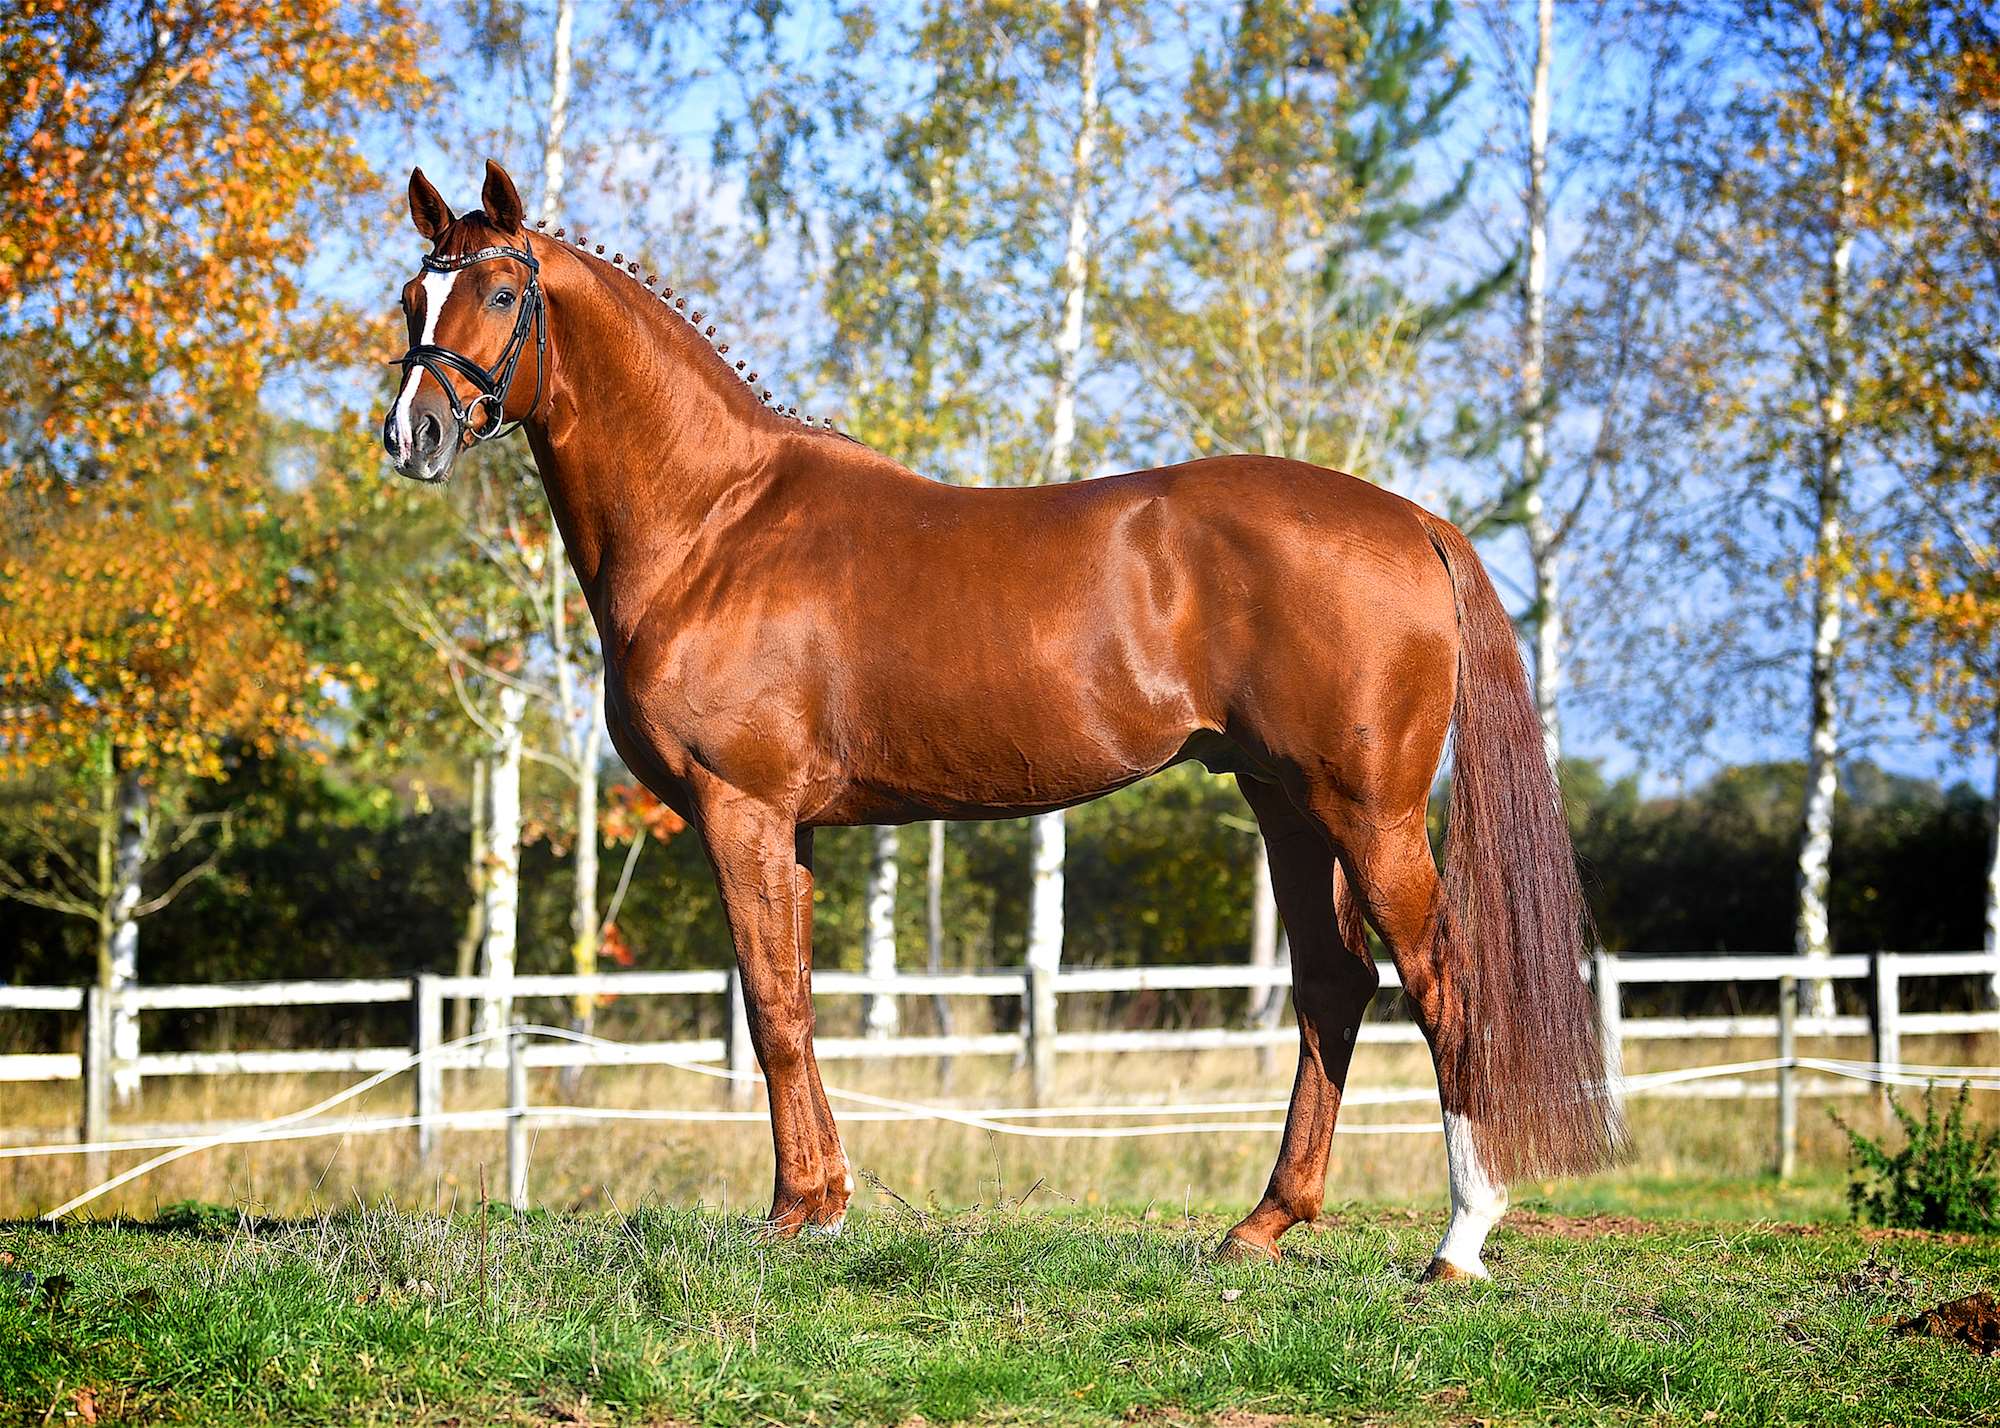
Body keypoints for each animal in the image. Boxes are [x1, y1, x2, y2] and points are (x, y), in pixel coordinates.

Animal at [382, 160, 1619, 1279]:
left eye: (501, 293)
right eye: (409, 298)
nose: (413, 435)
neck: (714, 521)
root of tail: (1410, 520)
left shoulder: (740, 811)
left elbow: (772, 1011)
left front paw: (788, 1219)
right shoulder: (791, 830)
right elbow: (798, 1004)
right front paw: (821, 1207)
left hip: (1369, 812)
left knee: (1439, 985)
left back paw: (1457, 1242)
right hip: (1284, 804)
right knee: (1334, 986)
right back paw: (1261, 1226)